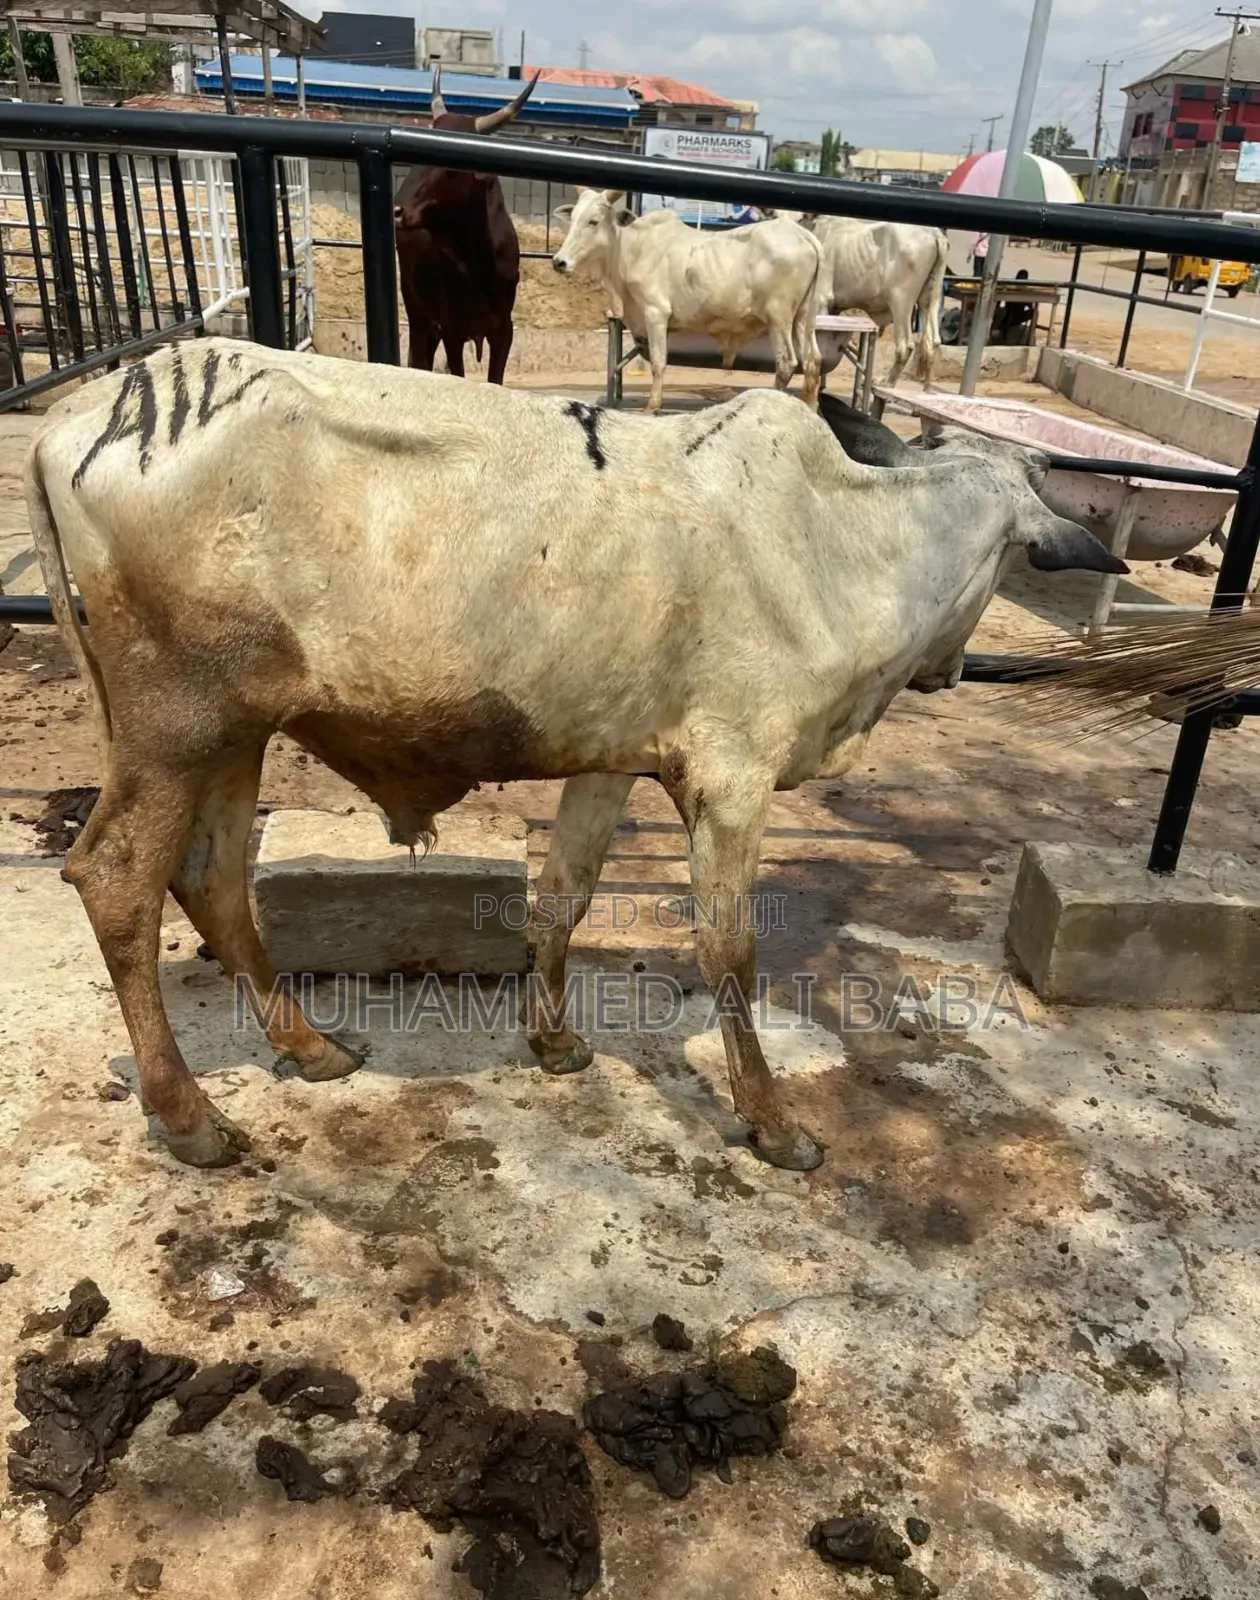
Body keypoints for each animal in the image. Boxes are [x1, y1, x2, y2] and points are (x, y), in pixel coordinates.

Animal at [27, 339, 1125, 1174]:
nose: (952, 669)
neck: (841, 542)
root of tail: (83, 416)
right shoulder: (734, 775)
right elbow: (730, 948)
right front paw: (773, 1123)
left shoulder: (616, 757)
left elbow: (564, 894)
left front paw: (553, 1039)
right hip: (176, 722)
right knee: (117, 879)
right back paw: (190, 1116)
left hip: (235, 730)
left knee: (212, 879)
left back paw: (307, 1045)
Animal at [393, 64, 539, 383]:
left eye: (453, 164)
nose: (397, 209)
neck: (477, 262)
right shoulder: (453, 330)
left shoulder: (503, 330)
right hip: (417, 310)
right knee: (418, 359)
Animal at [551, 190, 825, 413]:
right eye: (573, 218)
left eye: (593, 221)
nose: (559, 261)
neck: (632, 248)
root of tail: (802, 235)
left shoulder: (655, 313)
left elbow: (659, 362)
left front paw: (652, 406)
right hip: (803, 317)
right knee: (812, 362)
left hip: (779, 318)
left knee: (786, 363)